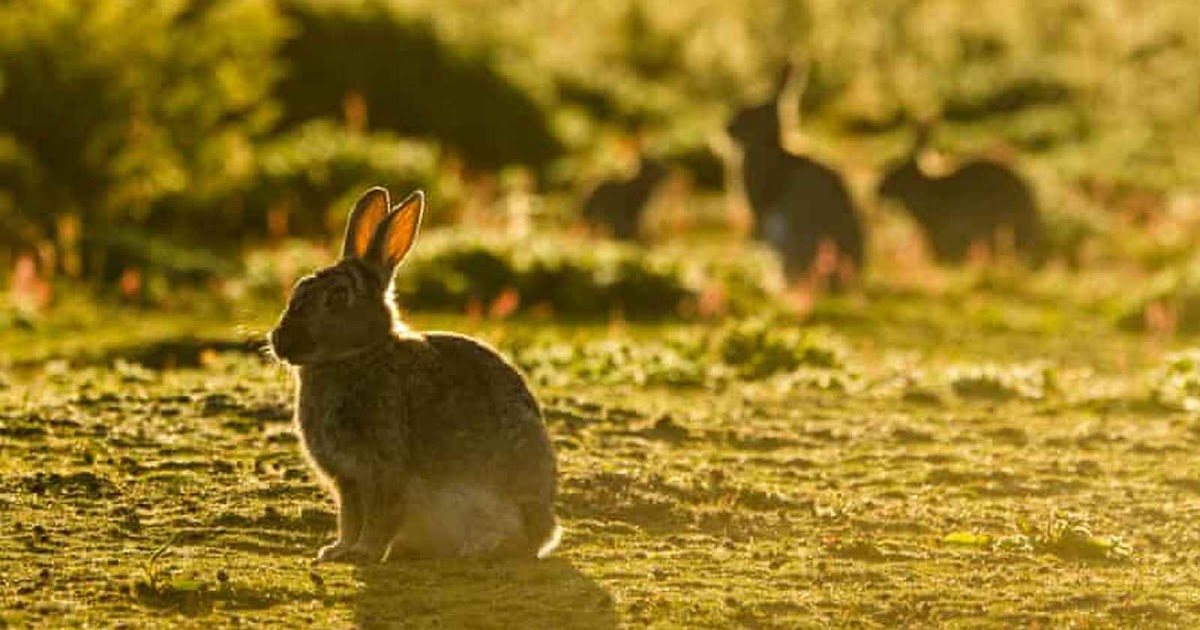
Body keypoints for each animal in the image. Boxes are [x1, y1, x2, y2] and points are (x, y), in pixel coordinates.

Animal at [268, 187, 559, 563]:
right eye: (299, 288)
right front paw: (337, 550)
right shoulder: (348, 482)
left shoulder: (385, 469)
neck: (358, 354)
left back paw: (479, 548)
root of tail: (547, 530)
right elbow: (349, 518)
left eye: (338, 296)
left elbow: (379, 518)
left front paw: (363, 552)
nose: (279, 342)